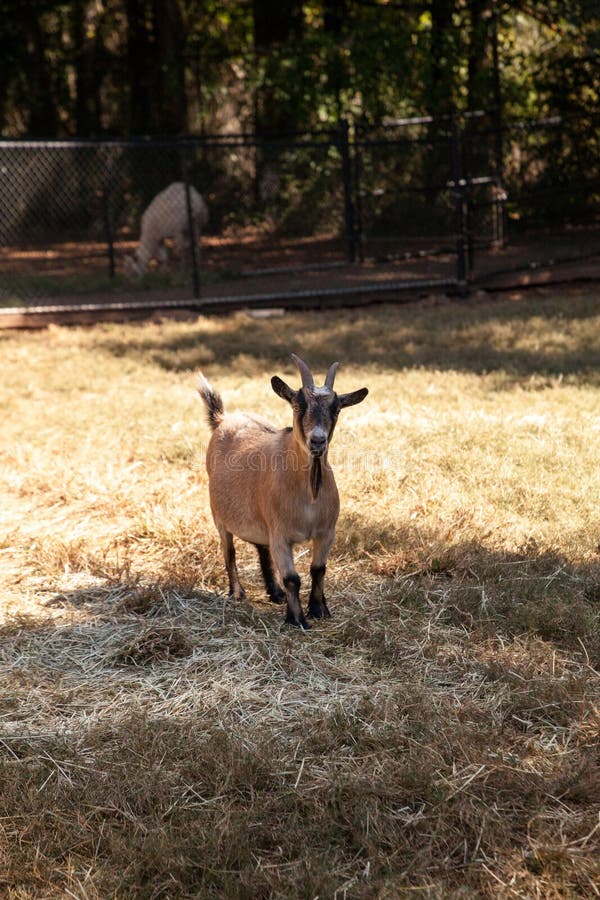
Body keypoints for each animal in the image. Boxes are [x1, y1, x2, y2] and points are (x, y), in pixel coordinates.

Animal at [198, 354, 368, 629]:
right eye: (298, 406)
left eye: (337, 409)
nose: (317, 440)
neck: (309, 495)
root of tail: (223, 419)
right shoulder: (280, 534)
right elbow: (292, 578)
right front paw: (297, 619)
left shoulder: (326, 532)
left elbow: (318, 569)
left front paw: (319, 609)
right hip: (219, 516)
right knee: (229, 552)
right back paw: (237, 593)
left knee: (261, 548)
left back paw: (275, 592)